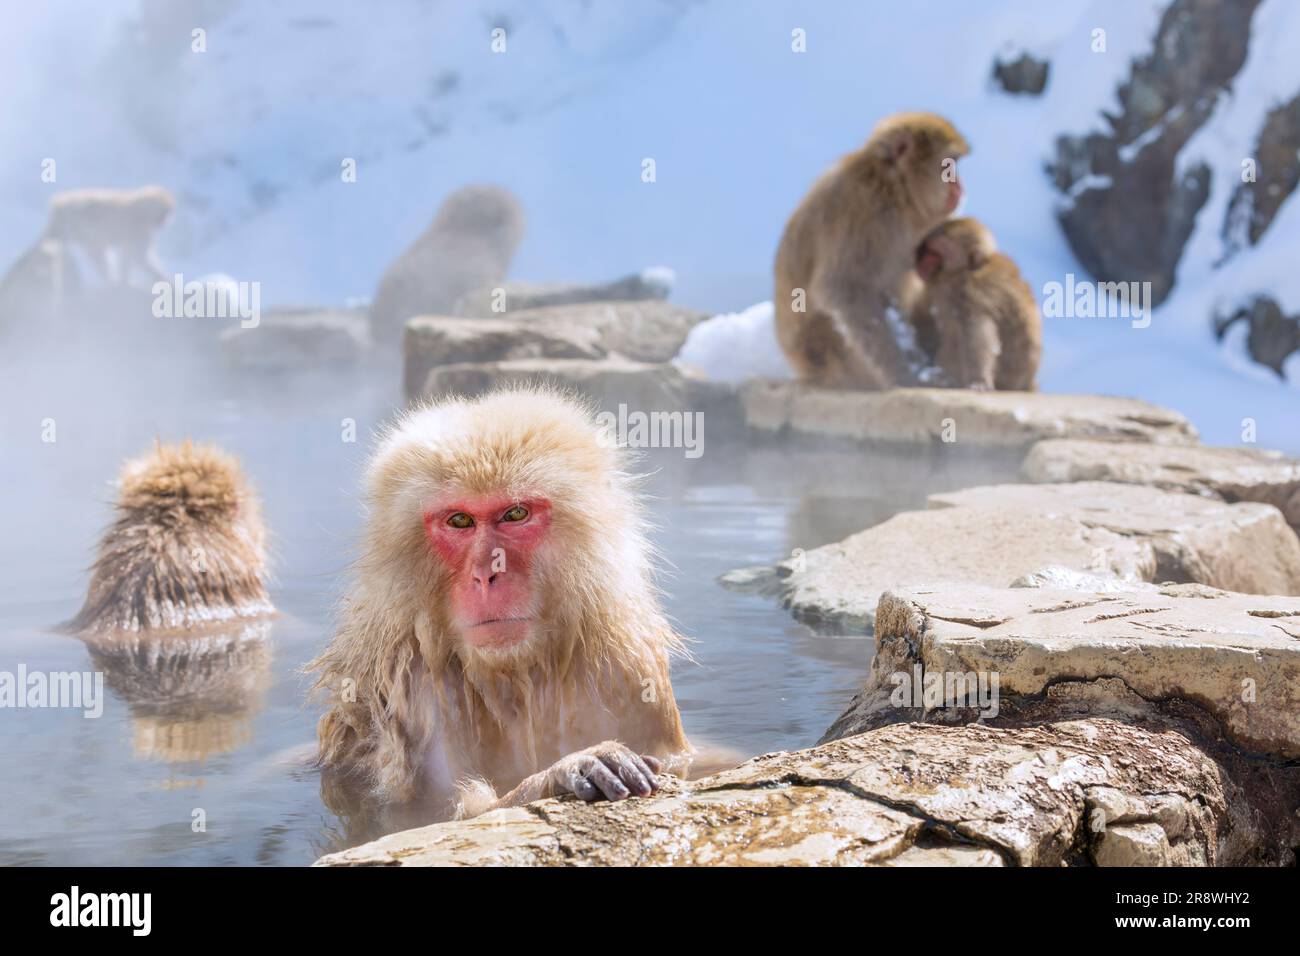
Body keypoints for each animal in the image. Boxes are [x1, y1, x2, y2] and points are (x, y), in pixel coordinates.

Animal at [44, 186, 174, 288]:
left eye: (168, 212)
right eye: (164, 212)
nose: (165, 222)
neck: (142, 212)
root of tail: (59, 204)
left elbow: (127, 255)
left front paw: (124, 279)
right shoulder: (138, 230)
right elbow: (139, 257)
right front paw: (164, 278)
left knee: (95, 250)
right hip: (76, 224)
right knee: (94, 250)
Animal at [308, 384, 693, 818]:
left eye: (516, 513)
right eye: (460, 520)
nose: (485, 573)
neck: (511, 677)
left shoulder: (626, 664)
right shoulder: (412, 687)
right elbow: (438, 813)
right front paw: (570, 769)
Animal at [774, 112, 970, 390]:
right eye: (948, 165)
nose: (959, 186)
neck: (893, 188)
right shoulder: (862, 209)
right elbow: (843, 288)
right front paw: (902, 374)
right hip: (824, 352)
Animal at [912, 217, 1042, 391]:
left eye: (937, 252)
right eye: (930, 248)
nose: (923, 260)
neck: (964, 270)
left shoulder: (972, 292)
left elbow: (978, 332)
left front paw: (978, 380)